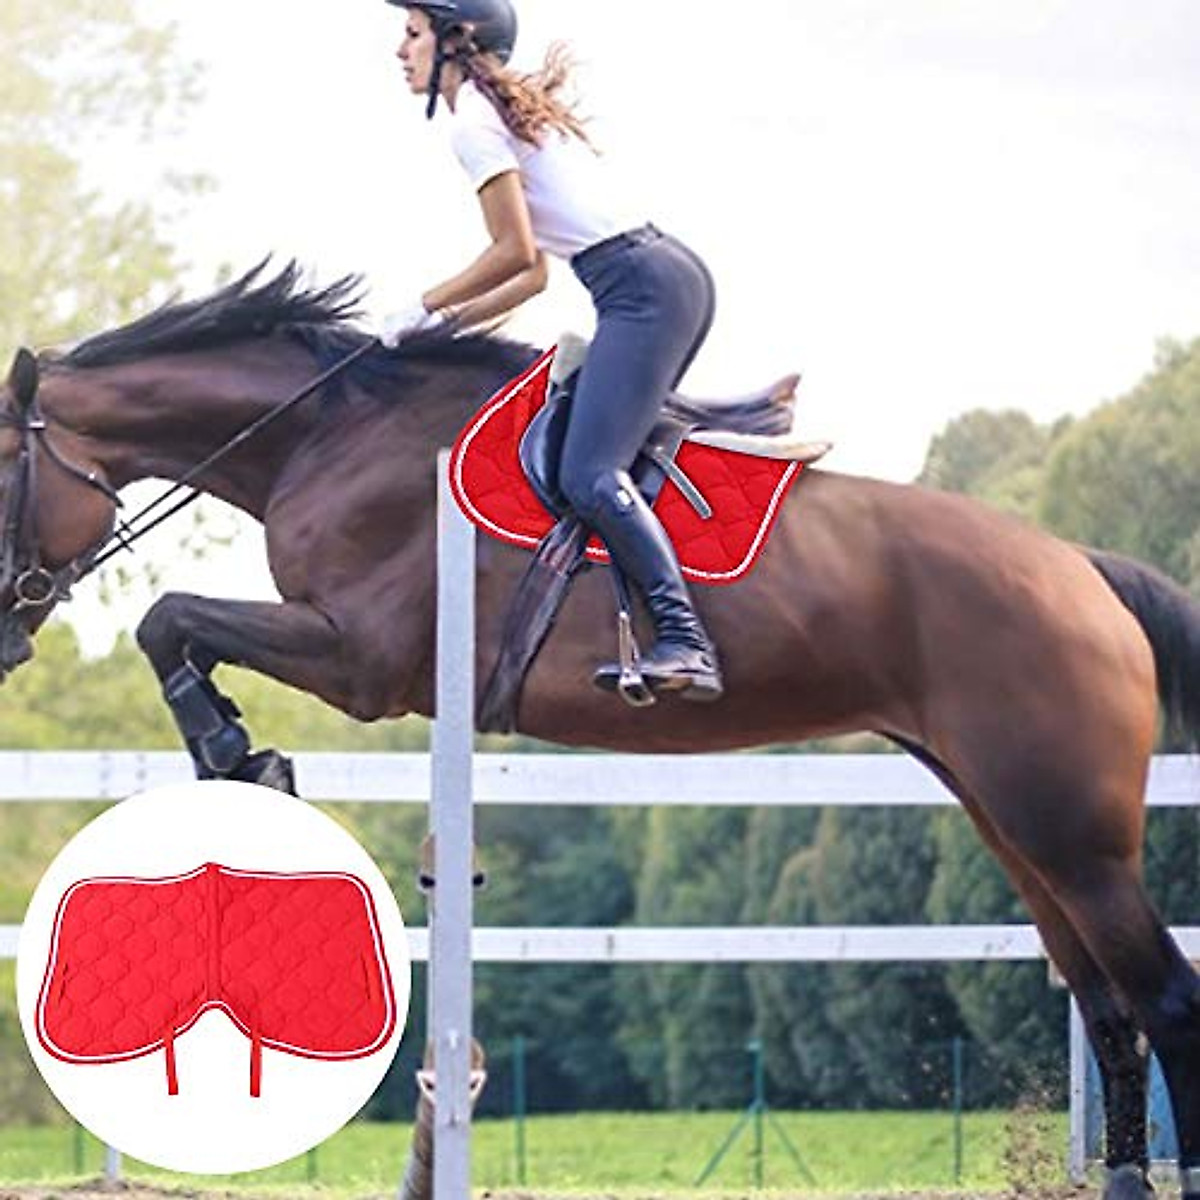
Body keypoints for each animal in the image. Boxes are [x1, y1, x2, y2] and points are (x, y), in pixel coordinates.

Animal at [1, 263, 1197, 1200]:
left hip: (1069, 832)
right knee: (1105, 1001)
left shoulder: (361, 660)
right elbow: (175, 624)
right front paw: (241, 751)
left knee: (1164, 995)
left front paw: (236, 754)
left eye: (2, 472)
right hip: (1013, 822)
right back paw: (1125, 1178)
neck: (321, 436)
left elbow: (168, 617)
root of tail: (1082, 567)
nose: (7, 637)